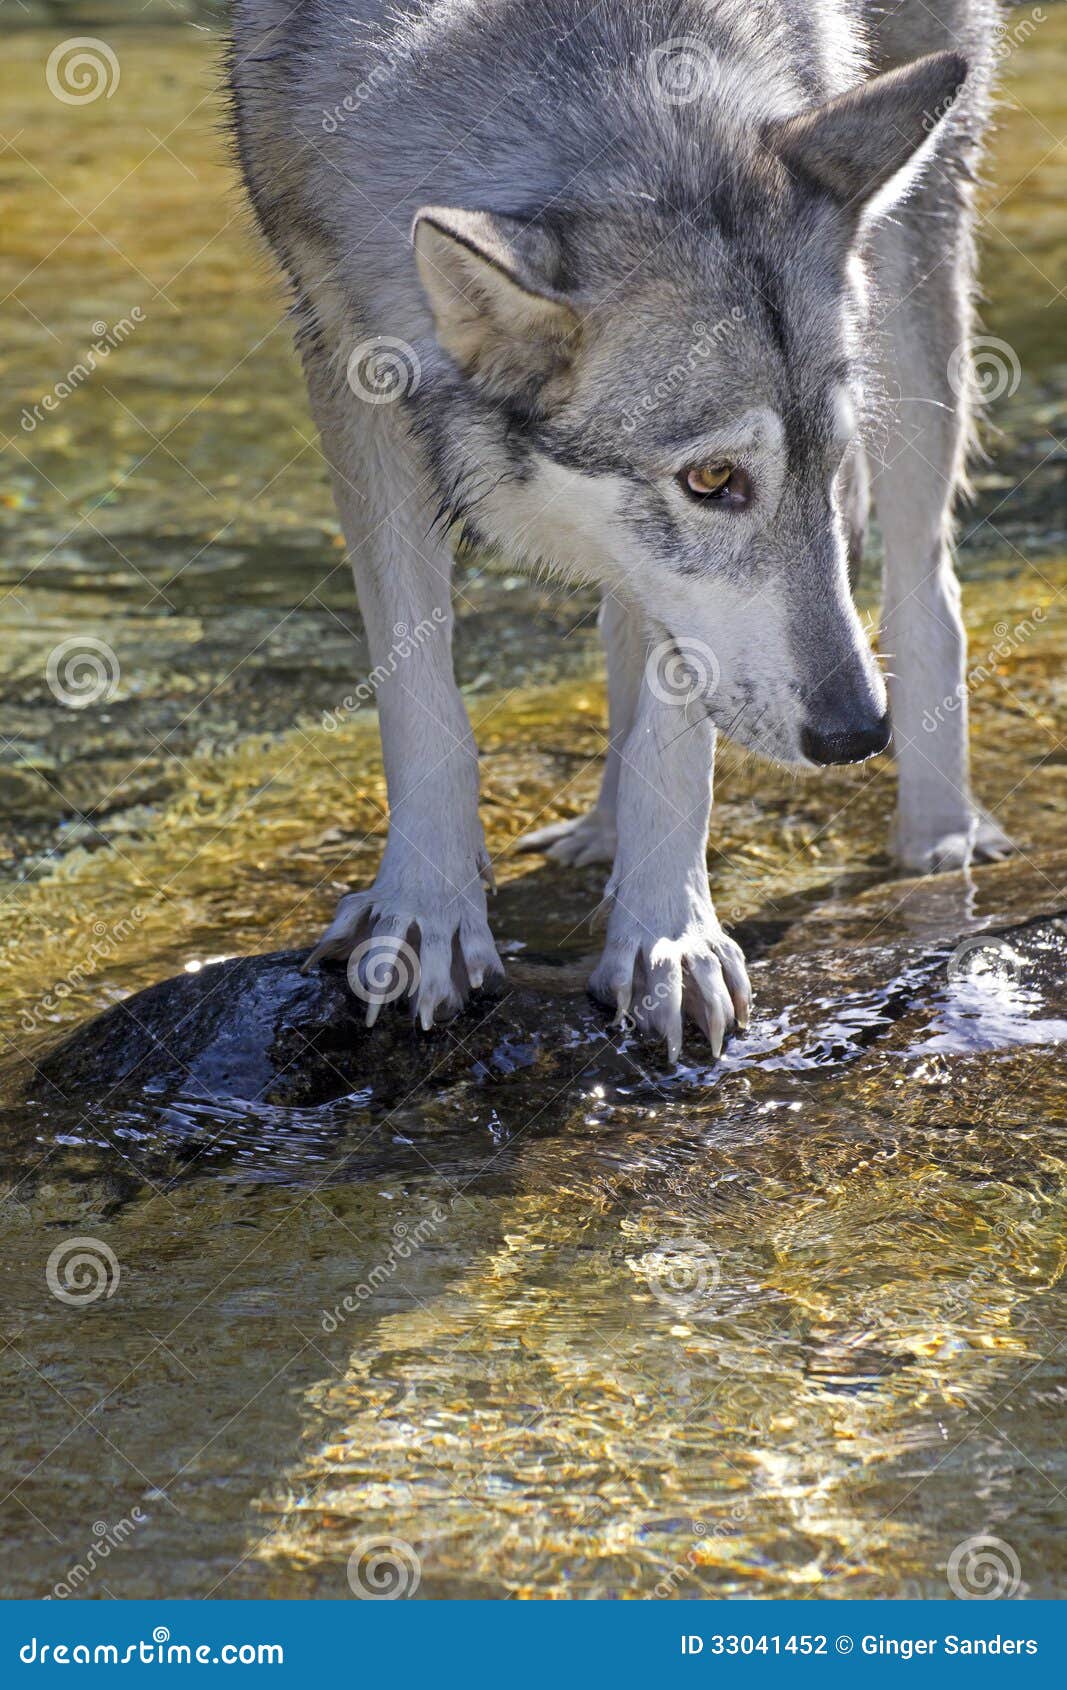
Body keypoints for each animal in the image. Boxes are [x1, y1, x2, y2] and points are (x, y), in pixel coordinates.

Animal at [230, 0, 1010, 1060]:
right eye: (714, 480)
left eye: (824, 459)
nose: (857, 733)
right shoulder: (350, 361)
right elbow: (419, 694)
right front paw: (426, 912)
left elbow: (677, 739)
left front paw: (667, 939)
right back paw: (598, 831)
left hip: (916, 258)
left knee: (928, 584)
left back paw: (939, 837)